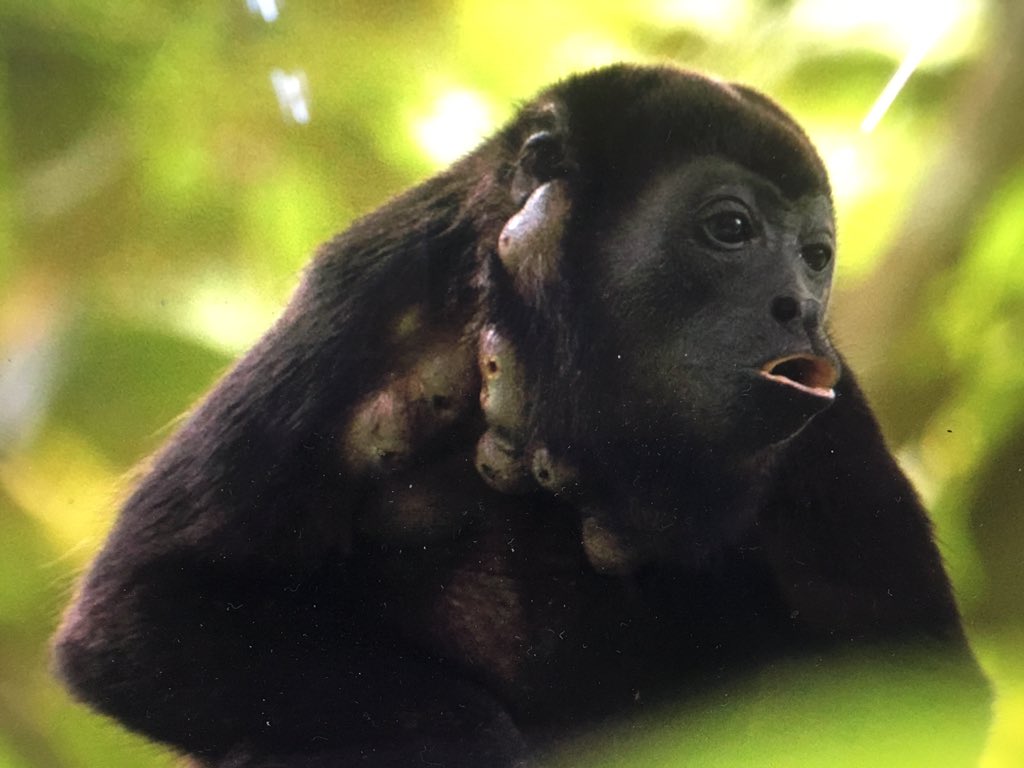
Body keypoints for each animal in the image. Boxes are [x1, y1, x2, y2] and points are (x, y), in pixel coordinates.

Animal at [53, 64, 989, 767]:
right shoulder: (370, 290)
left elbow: (916, 691)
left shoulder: (830, 412)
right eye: (730, 227)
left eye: (817, 255)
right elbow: (138, 614)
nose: (798, 307)